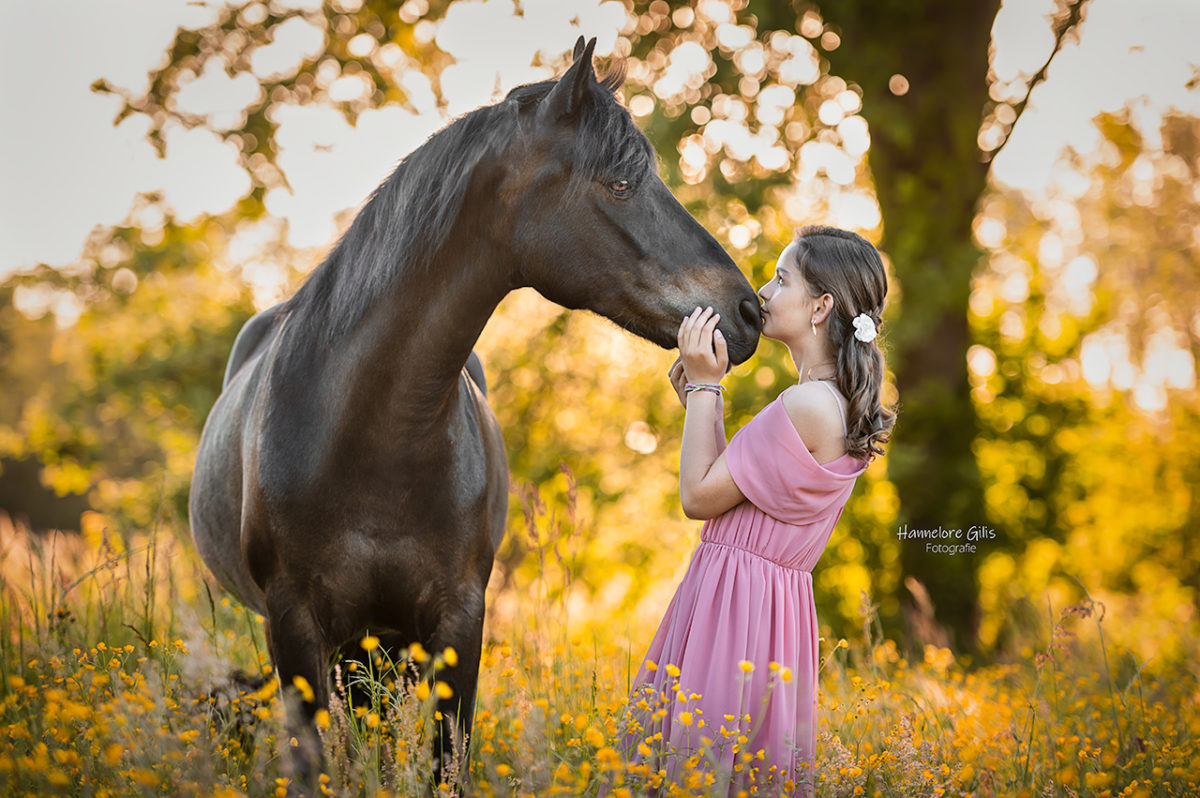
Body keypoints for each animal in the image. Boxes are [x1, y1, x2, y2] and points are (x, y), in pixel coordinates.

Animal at [189, 37, 762, 789]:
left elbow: (445, 763)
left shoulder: (457, 622)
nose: (748, 311)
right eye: (619, 185)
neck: (373, 435)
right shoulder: (294, 626)